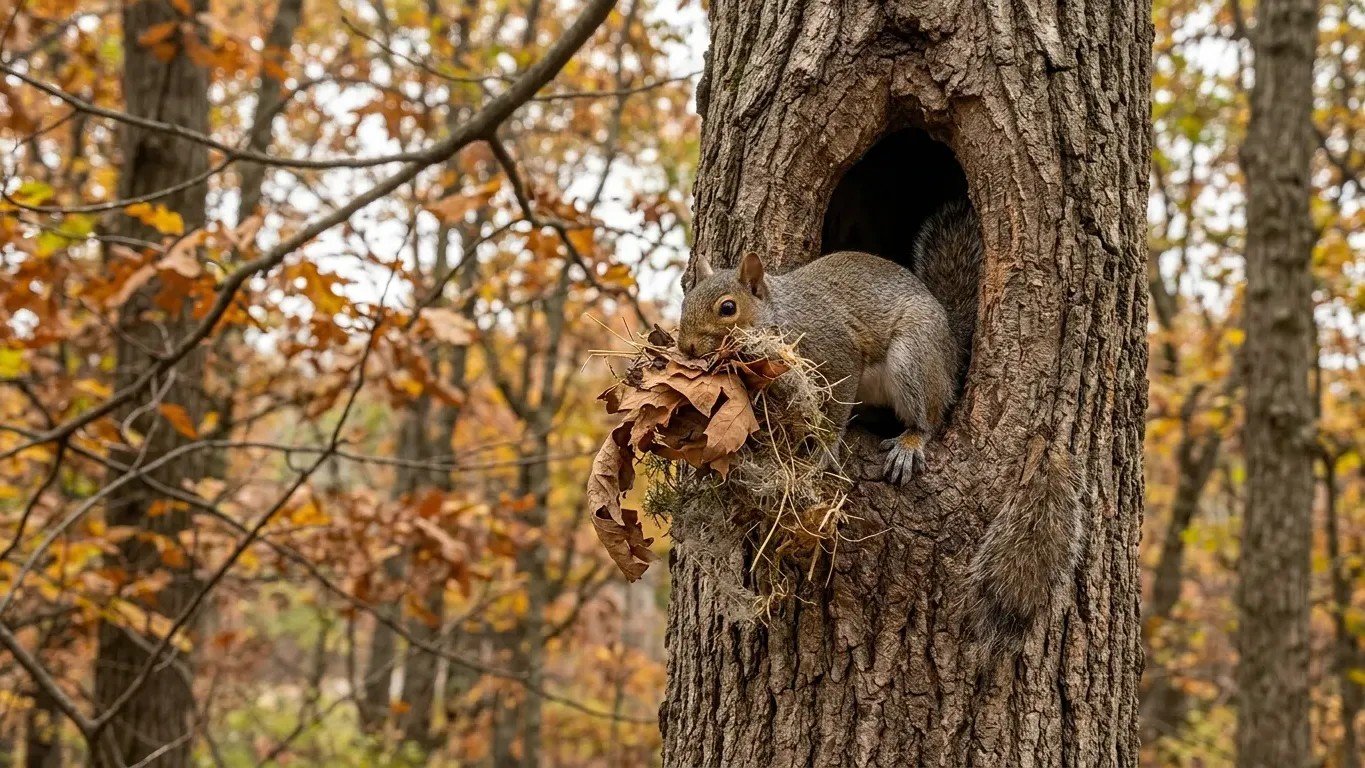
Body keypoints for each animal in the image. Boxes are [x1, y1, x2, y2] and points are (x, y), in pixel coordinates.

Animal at [677, 200, 1083, 657]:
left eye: (728, 308)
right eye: (685, 300)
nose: (685, 347)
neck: (780, 314)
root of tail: (950, 354)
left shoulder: (837, 353)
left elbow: (835, 408)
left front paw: (824, 449)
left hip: (913, 358)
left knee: (931, 416)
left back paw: (910, 441)